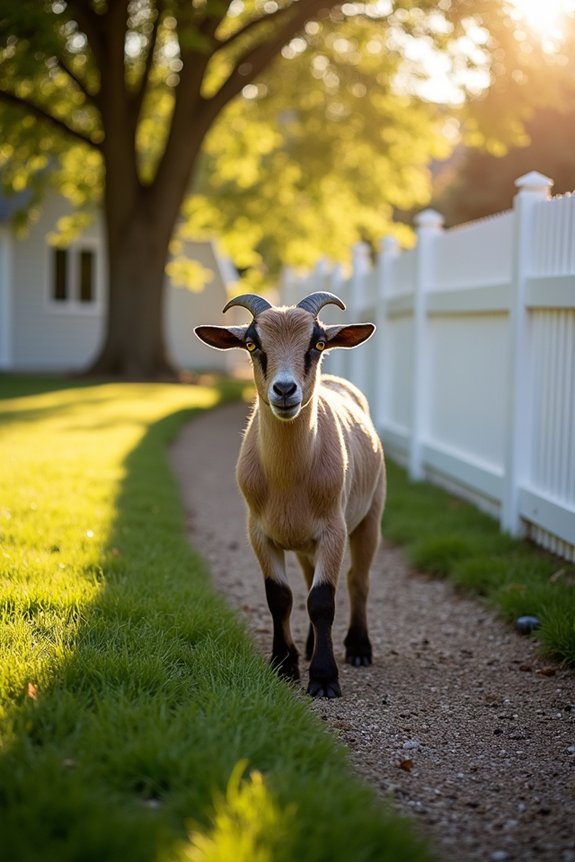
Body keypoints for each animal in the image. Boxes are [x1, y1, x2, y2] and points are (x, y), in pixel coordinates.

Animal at [195, 292, 385, 698]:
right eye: (253, 345)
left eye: (318, 344)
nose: (284, 390)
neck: (289, 479)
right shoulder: (259, 532)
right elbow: (280, 598)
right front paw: (284, 665)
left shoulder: (333, 529)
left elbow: (323, 600)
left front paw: (325, 679)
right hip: (303, 541)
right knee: (310, 577)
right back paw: (313, 647)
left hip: (370, 515)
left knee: (358, 580)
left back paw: (359, 648)